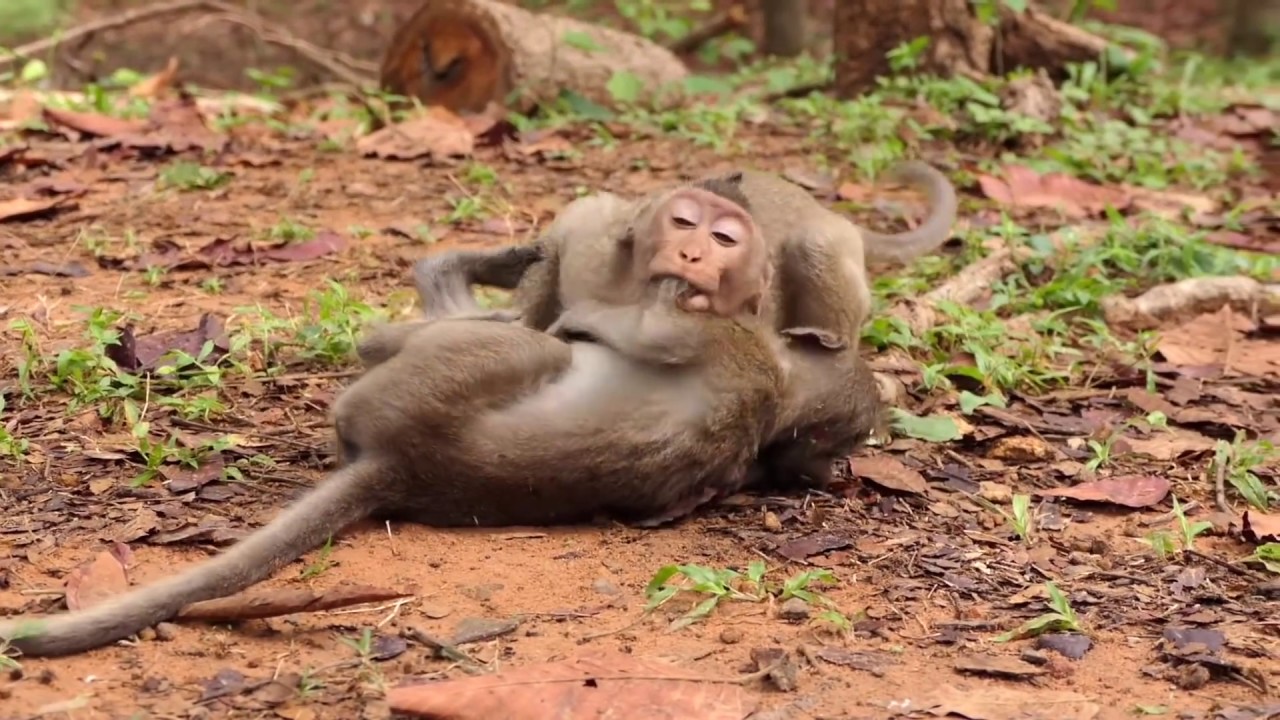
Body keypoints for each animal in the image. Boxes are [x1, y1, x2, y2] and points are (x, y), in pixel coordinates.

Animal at [0, 184, 786, 658]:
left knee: (518, 346)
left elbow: (636, 328)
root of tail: (401, 469)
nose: (693, 253)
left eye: (725, 239)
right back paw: (454, 272)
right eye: (688, 221)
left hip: (421, 388)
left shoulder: (707, 330)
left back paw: (413, 325)